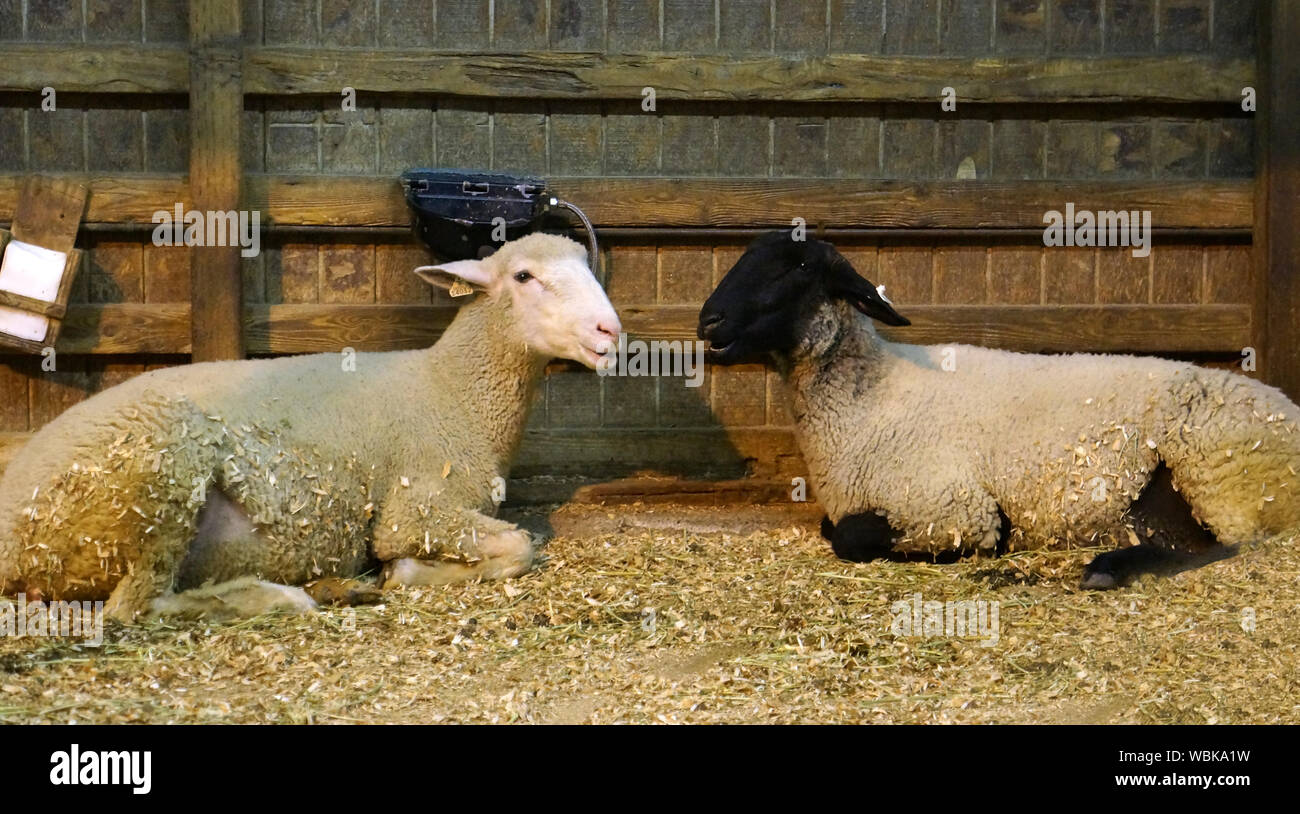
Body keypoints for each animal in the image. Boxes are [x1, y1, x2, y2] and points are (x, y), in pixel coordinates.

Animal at [0, 233, 621, 621]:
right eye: (524, 275)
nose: (609, 331)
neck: (449, 390)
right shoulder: (417, 507)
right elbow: (518, 546)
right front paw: (404, 572)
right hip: (158, 475)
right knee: (134, 607)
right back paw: (280, 598)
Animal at [697, 232, 1300, 587]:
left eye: (796, 267)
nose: (708, 321)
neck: (870, 395)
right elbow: (831, 527)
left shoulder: (952, 508)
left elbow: (851, 537)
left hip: (1218, 473)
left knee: (1230, 547)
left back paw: (1108, 568)